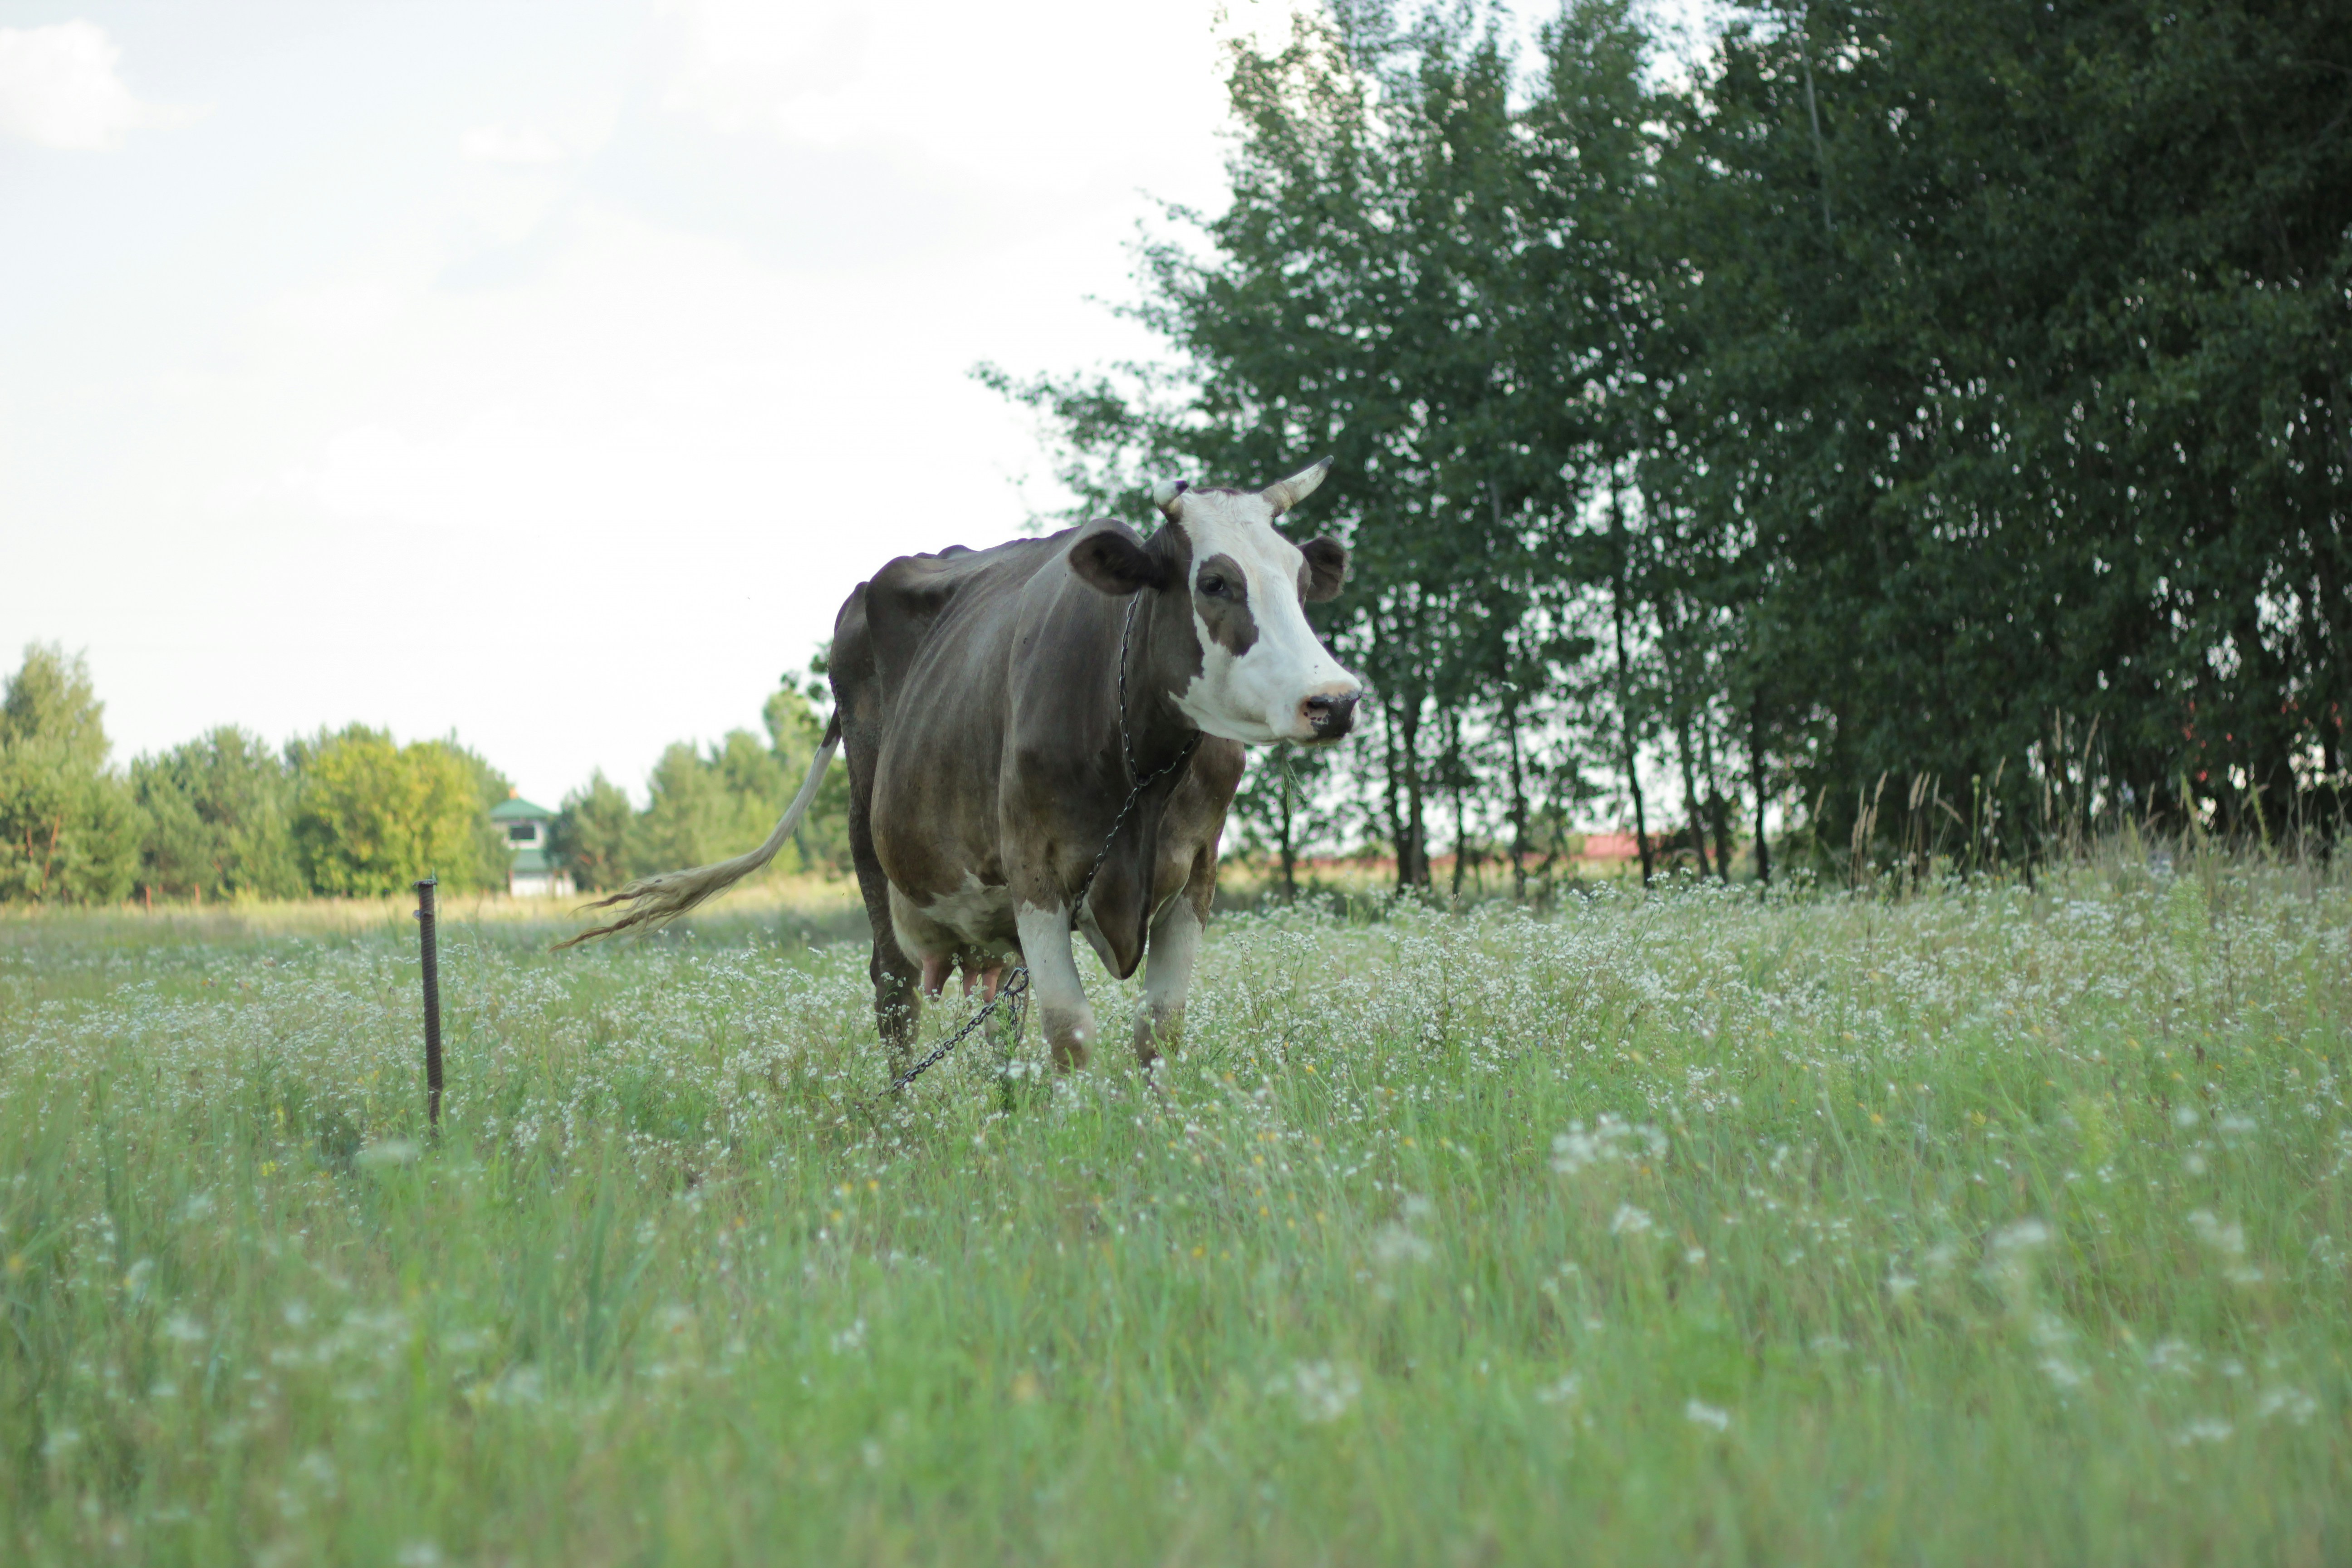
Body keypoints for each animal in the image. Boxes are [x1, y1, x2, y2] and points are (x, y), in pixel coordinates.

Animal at [564, 459, 1361, 1076]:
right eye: (1216, 583)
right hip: (869, 835)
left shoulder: (1195, 872)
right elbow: (1071, 1032)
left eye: (1299, 582)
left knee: (1002, 1004)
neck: (1145, 767)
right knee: (893, 994)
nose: (1336, 699)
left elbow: (1158, 1032)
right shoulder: (1036, 867)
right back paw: (900, 1124)